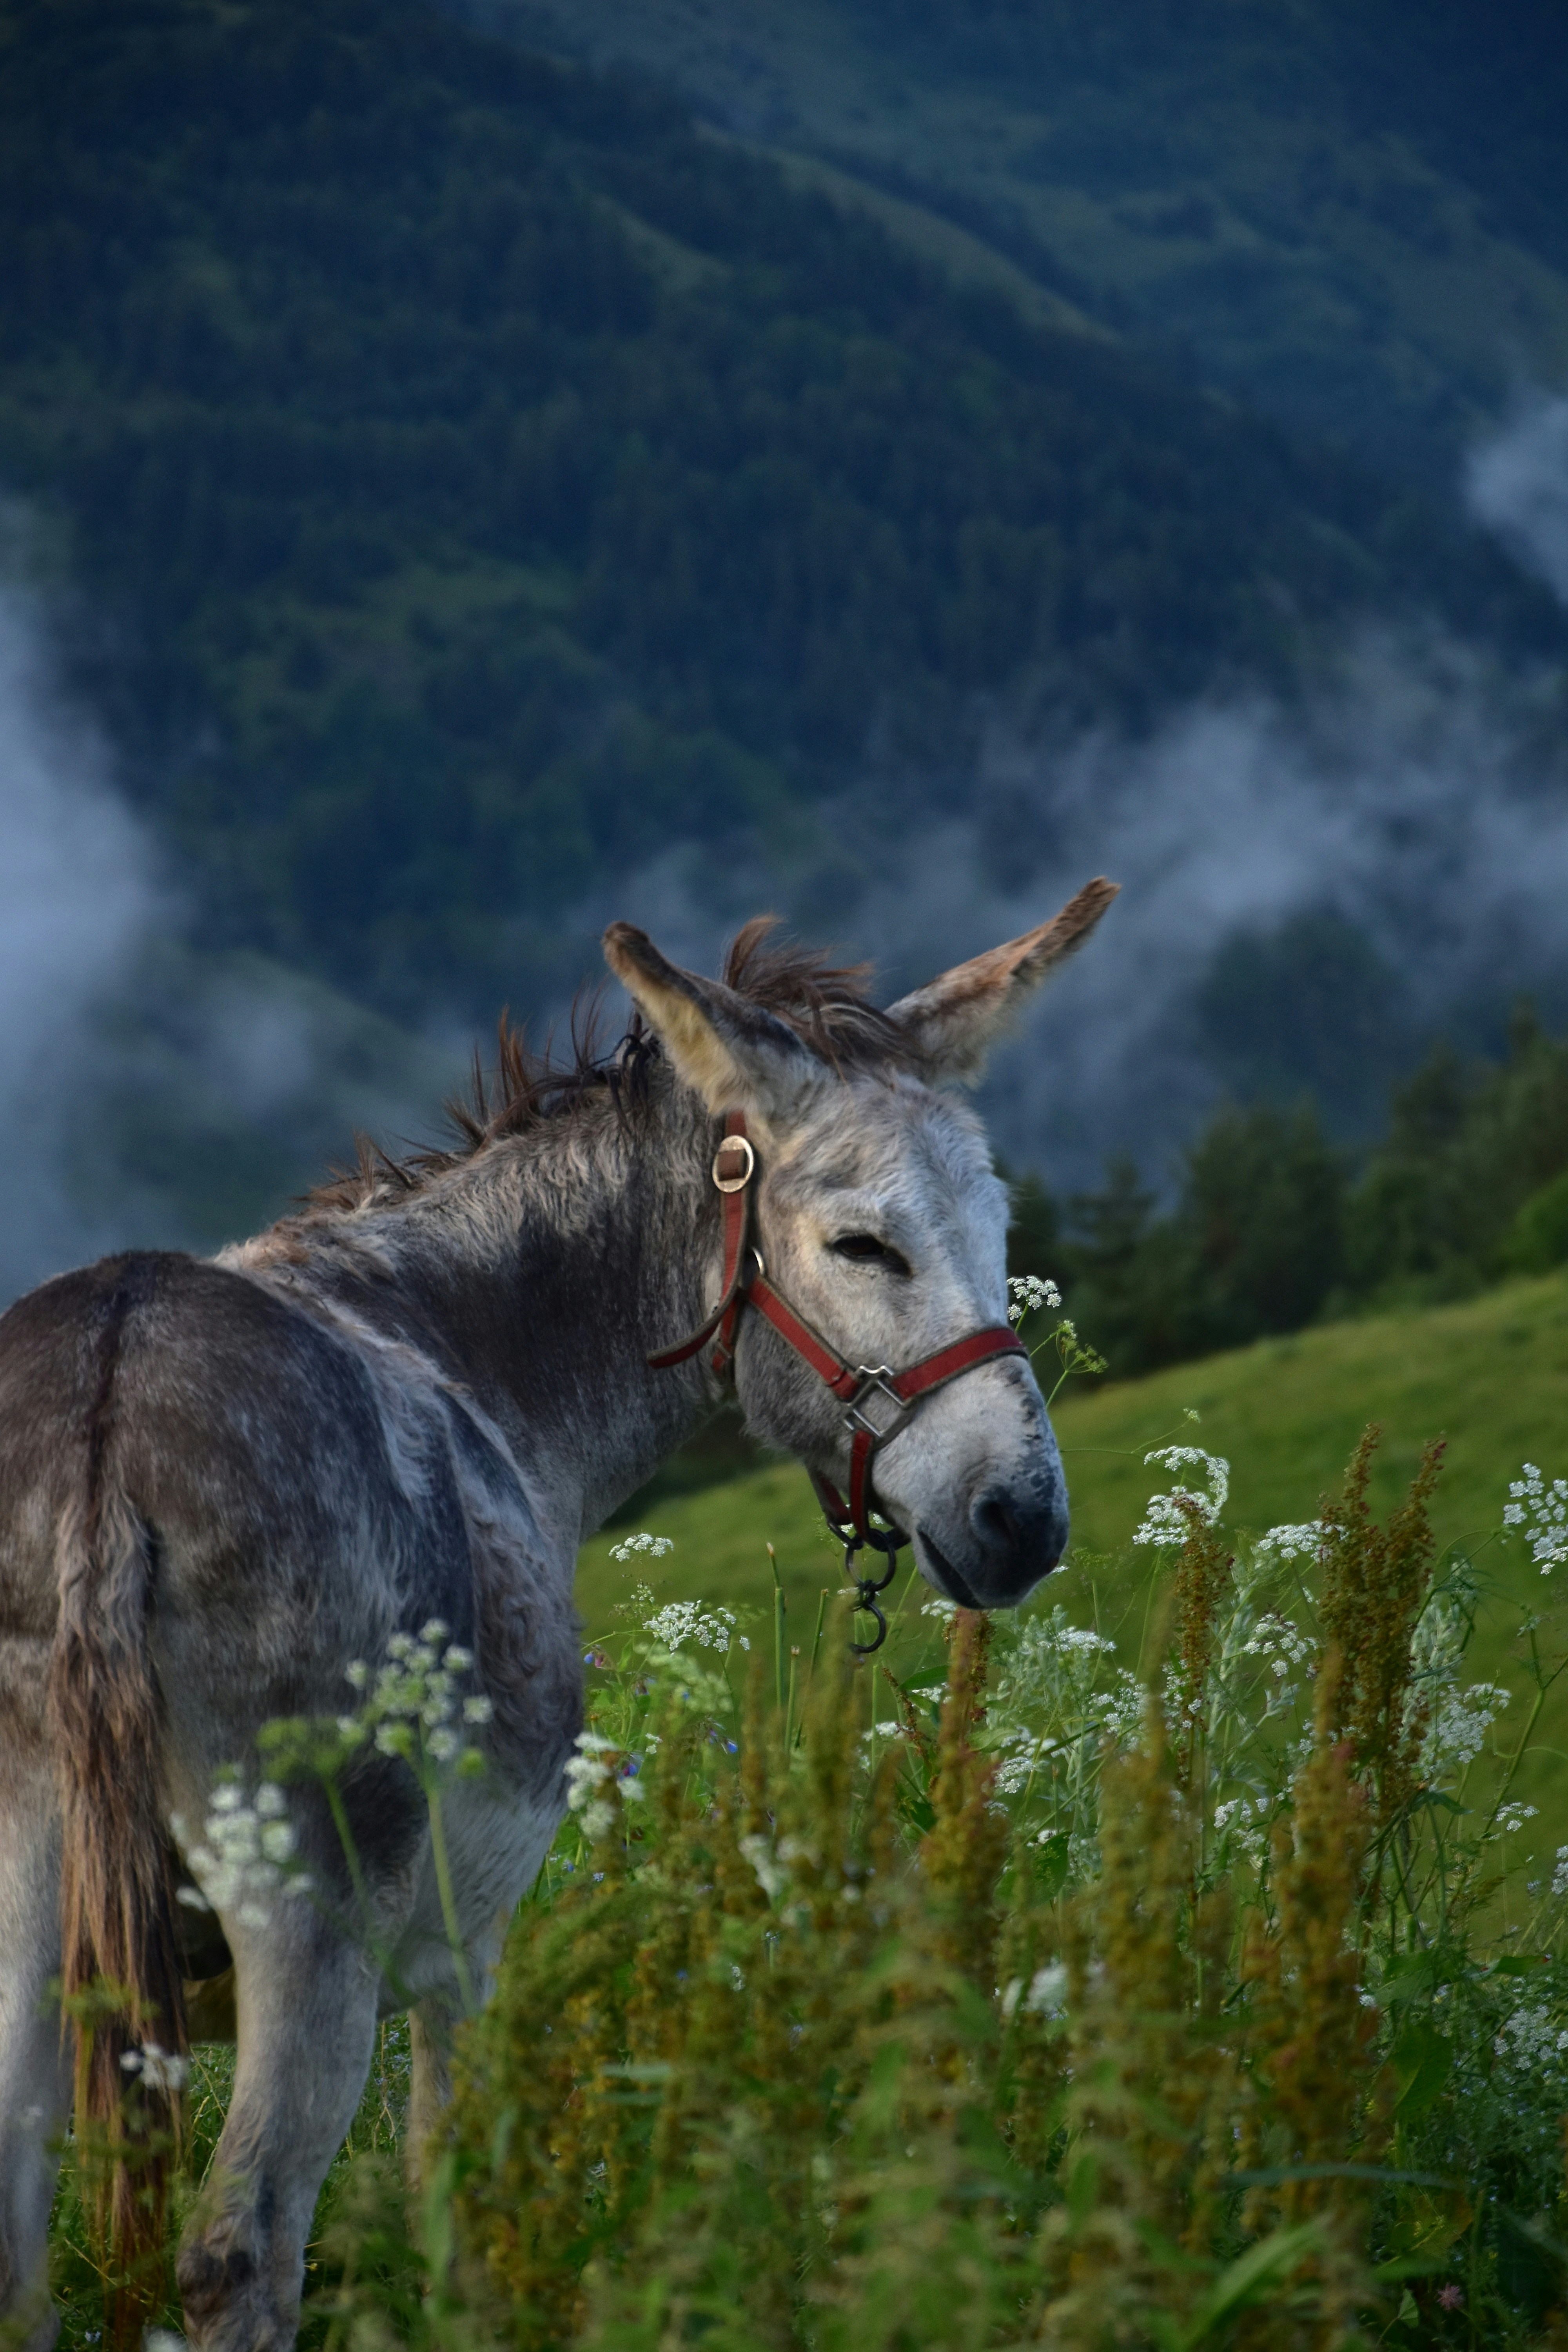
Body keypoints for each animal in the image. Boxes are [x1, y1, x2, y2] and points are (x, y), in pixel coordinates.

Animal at [0, 883, 1115, 2352]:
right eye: (863, 1245)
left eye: (999, 1230)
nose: (1023, 1523)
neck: (475, 1347)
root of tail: (107, 1388)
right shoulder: (464, 1944)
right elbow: (451, 2198)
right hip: (313, 1915)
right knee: (240, 2251)